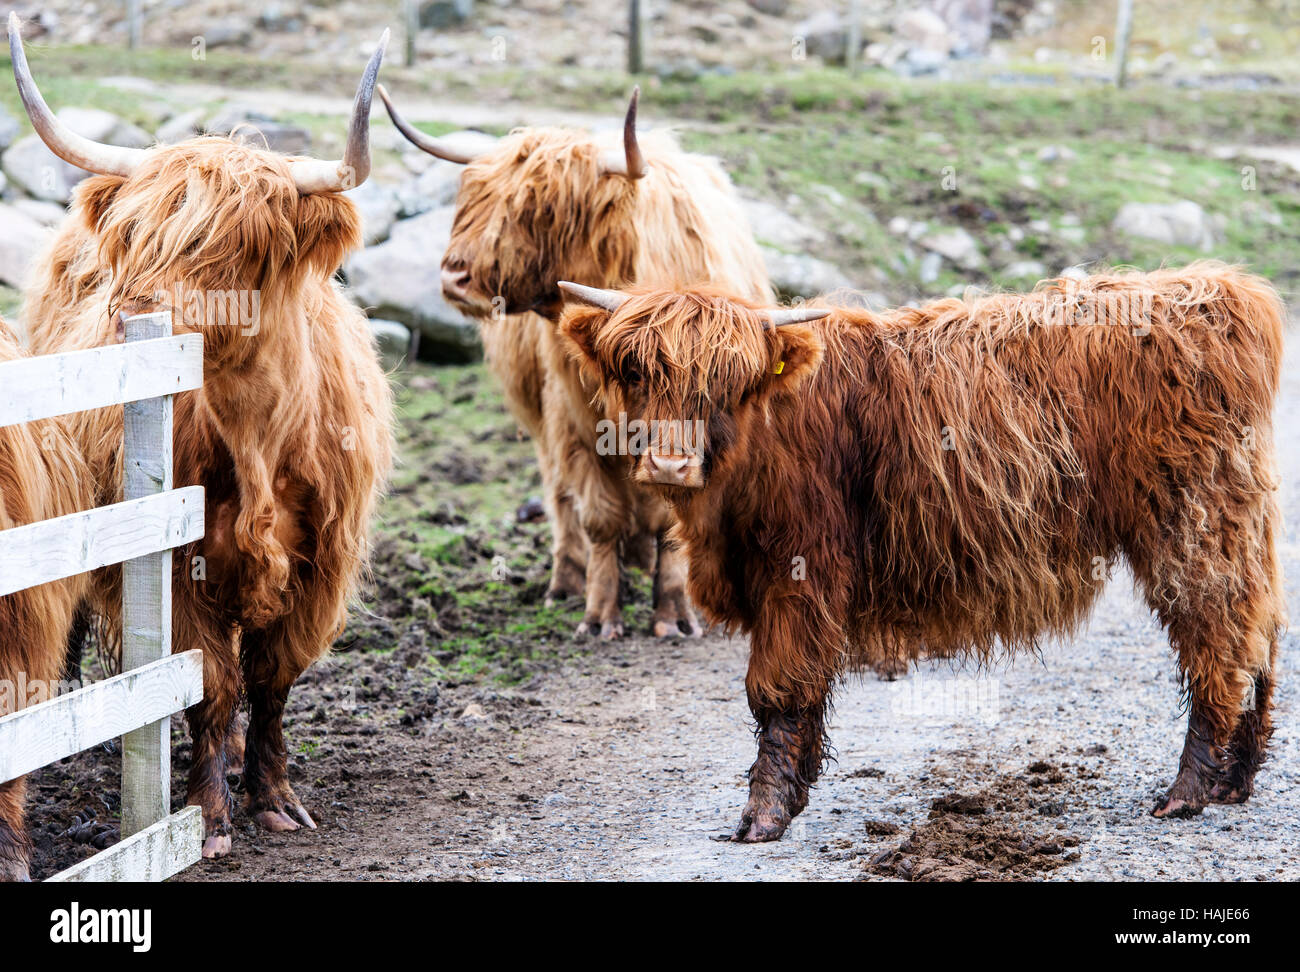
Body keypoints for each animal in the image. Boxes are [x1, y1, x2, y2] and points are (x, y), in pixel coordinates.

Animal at [13, 17, 395, 859]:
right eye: (137, 234)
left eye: (239, 245)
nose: (134, 310)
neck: (259, 437)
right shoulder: (181, 571)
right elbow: (211, 685)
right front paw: (210, 818)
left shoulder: (321, 568)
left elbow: (272, 681)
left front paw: (275, 800)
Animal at [380, 84, 772, 638]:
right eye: (474, 195)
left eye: (543, 208)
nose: (454, 276)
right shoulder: (573, 418)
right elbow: (599, 516)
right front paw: (599, 613)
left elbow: (666, 518)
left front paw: (673, 613)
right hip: (544, 425)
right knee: (561, 498)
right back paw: (565, 582)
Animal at [556, 264, 1286, 841]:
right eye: (635, 371)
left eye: (727, 380)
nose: (669, 465)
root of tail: (1215, 291)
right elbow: (808, 691)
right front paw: (798, 790)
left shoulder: (798, 570)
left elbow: (777, 689)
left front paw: (764, 815)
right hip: (1238, 524)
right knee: (1262, 635)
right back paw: (1235, 780)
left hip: (1192, 524)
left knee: (1220, 639)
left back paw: (1188, 792)